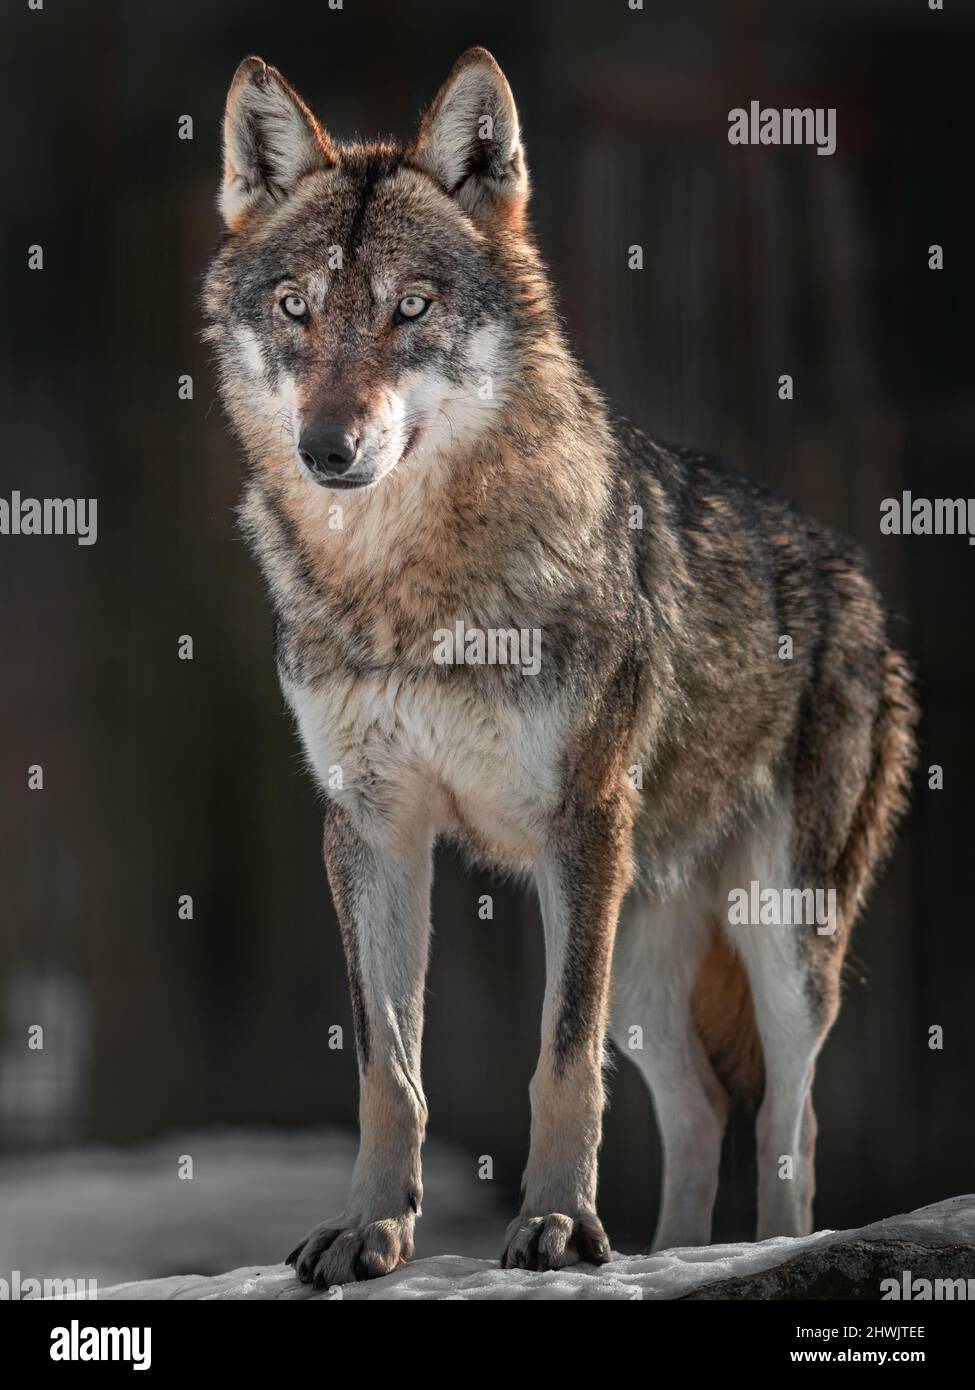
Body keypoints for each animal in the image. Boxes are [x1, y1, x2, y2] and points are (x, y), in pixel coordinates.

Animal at [203, 48, 917, 1284]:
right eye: (296, 308)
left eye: (411, 308)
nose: (326, 448)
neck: (407, 590)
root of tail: (851, 571)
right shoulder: (371, 826)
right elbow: (388, 1069)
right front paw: (369, 1227)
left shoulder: (580, 821)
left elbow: (559, 1058)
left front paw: (555, 1225)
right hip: (642, 933)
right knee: (699, 1108)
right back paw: (663, 1257)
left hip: (771, 933)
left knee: (792, 1119)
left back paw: (762, 1249)